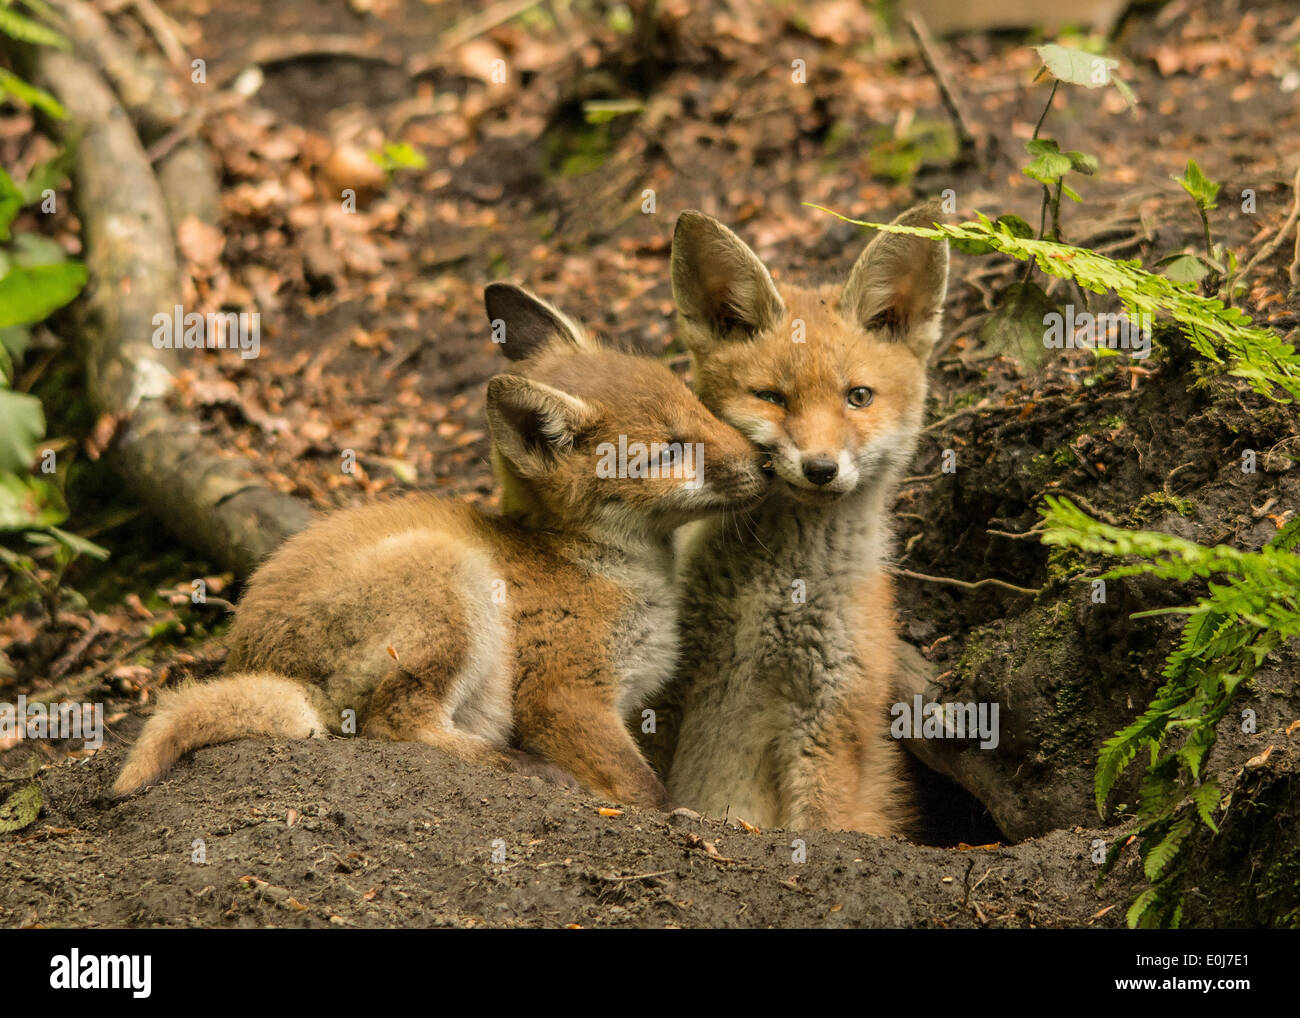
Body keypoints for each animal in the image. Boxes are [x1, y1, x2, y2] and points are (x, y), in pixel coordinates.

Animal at [112, 283, 766, 808]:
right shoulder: (564, 694)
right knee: (395, 726)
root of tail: (260, 662)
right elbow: (649, 795)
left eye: (697, 404)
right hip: (450, 585)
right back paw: (523, 767)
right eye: (669, 453)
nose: (763, 462)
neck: (592, 562)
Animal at [657, 203, 949, 834]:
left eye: (858, 397)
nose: (820, 468)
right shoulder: (670, 688)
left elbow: (821, 824)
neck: (775, 598)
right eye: (771, 397)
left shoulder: (829, 720)